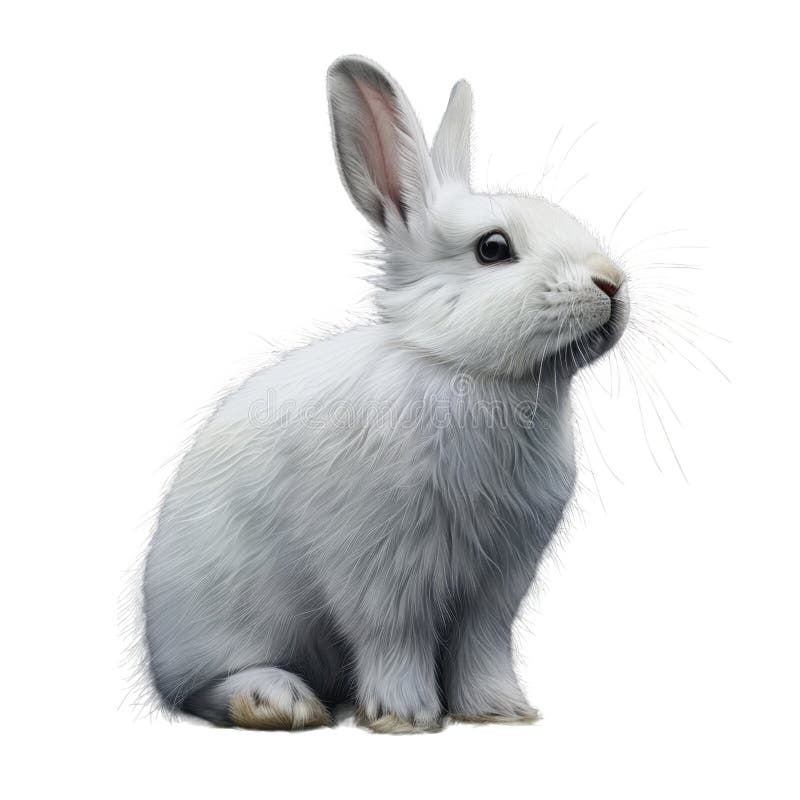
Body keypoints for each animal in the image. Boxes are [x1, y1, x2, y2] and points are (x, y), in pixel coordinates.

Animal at [143, 54, 629, 734]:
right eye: (493, 248)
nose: (612, 283)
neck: (469, 374)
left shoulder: (499, 578)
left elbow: (483, 642)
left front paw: (501, 711)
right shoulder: (380, 568)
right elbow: (393, 636)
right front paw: (407, 716)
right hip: (219, 619)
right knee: (201, 689)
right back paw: (277, 701)